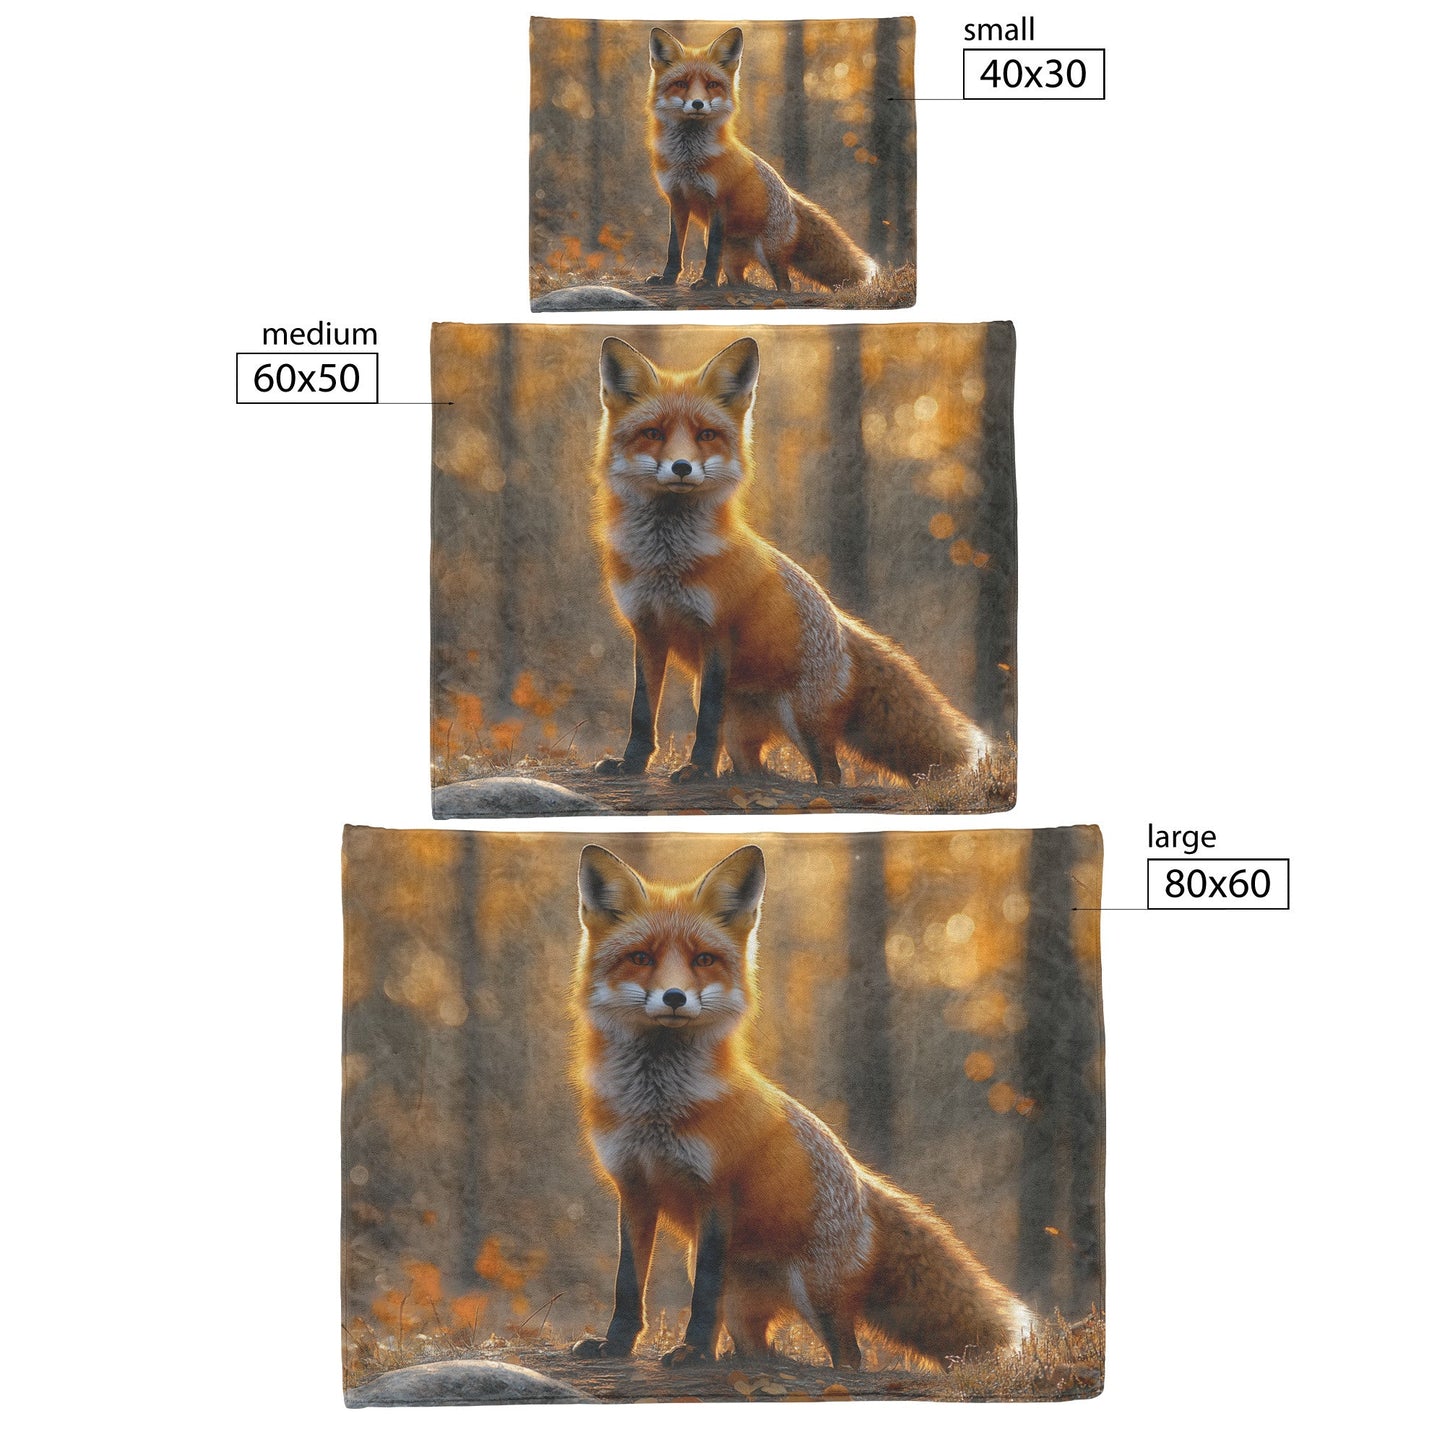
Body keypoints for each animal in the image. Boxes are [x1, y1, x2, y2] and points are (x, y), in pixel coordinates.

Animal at [570, 844, 1034, 1369]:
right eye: (640, 958)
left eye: (703, 959)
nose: (674, 997)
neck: (656, 1107)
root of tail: (862, 1182)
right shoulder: (634, 1188)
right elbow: (628, 1284)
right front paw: (616, 1345)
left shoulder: (716, 1192)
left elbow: (703, 1294)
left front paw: (692, 1351)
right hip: (743, 1303)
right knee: (757, 1346)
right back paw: (739, 1364)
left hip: (818, 1297)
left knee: (851, 1359)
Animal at [591, 334, 990, 787]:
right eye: (652, 433)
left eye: (706, 434)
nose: (681, 467)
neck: (666, 560)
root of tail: (841, 624)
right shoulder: (647, 629)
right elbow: (642, 711)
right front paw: (632, 764)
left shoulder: (717, 632)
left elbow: (707, 720)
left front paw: (697, 770)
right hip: (741, 730)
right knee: (753, 765)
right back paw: (739, 781)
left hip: (803, 723)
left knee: (832, 775)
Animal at [645, 27, 878, 293]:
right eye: (681, 84)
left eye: (712, 84)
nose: (697, 103)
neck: (688, 159)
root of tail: (790, 196)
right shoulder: (677, 200)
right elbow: (674, 248)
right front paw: (668, 278)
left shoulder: (718, 201)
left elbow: (712, 253)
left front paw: (707, 282)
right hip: (732, 259)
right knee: (738, 279)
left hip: (769, 255)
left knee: (785, 285)